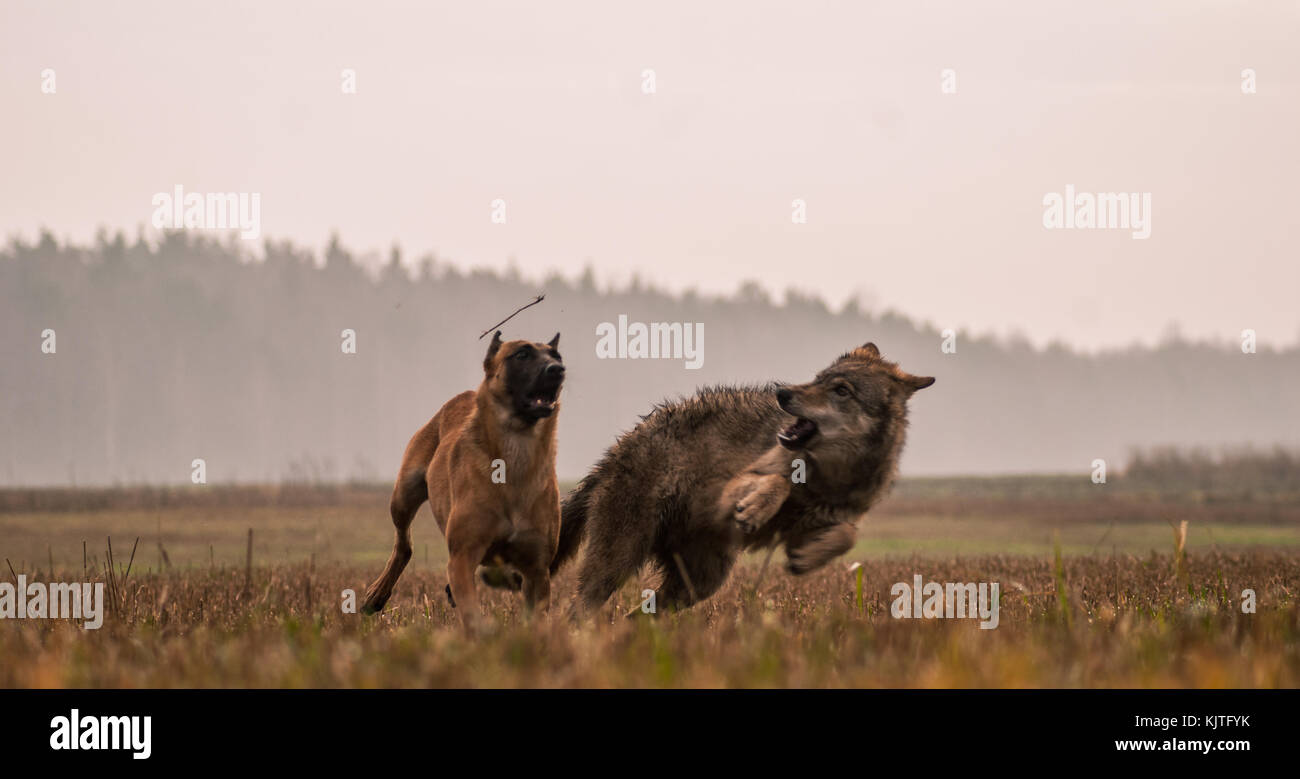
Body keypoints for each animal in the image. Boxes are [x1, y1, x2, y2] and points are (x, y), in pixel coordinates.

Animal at [550, 342, 933, 617]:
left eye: (841, 390)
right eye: (818, 378)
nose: (783, 393)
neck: (830, 475)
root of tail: (618, 448)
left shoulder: (827, 518)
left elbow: (848, 534)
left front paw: (807, 557)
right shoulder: (727, 489)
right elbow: (778, 482)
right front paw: (755, 509)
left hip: (698, 585)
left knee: (636, 616)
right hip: (617, 563)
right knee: (578, 611)